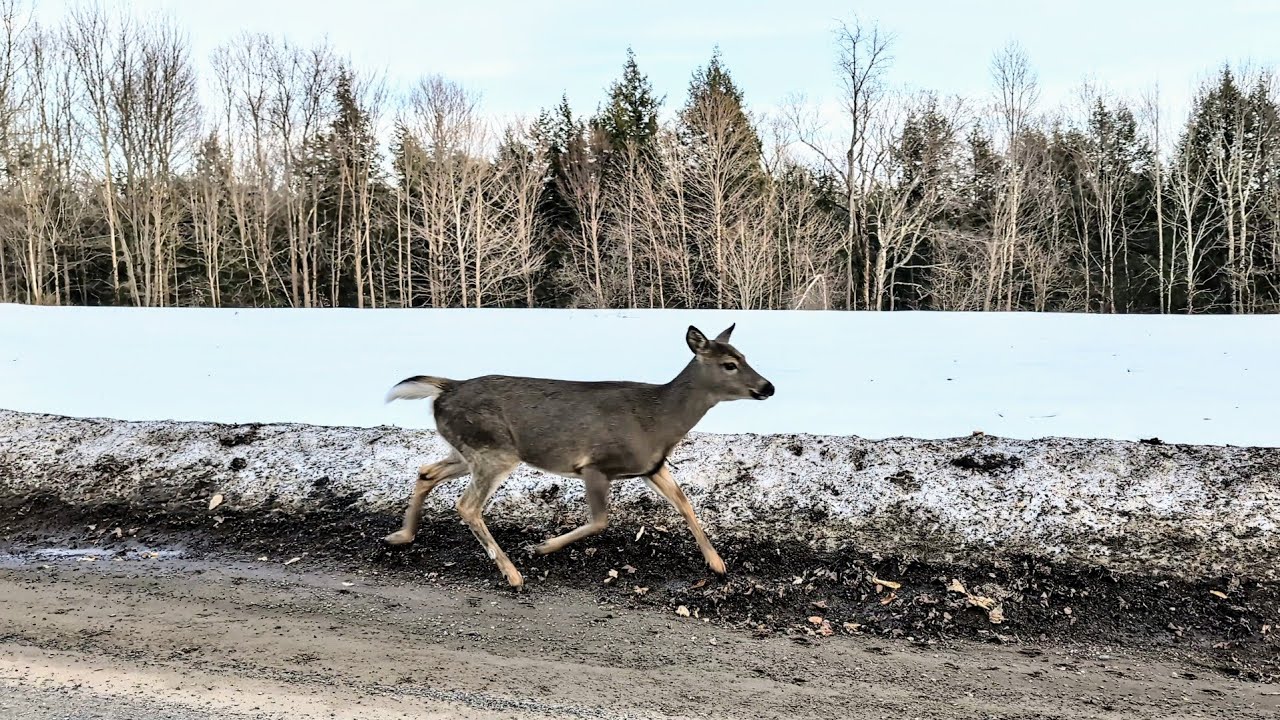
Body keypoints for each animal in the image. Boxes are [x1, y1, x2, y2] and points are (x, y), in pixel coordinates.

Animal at [380, 323, 775, 589]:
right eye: (729, 364)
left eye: (744, 356)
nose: (768, 386)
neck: (657, 421)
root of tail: (447, 388)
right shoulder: (596, 464)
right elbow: (600, 521)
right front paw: (541, 547)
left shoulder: (652, 466)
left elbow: (685, 504)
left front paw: (717, 563)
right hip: (494, 449)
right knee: (466, 505)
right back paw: (512, 574)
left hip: (468, 450)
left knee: (426, 472)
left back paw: (402, 536)